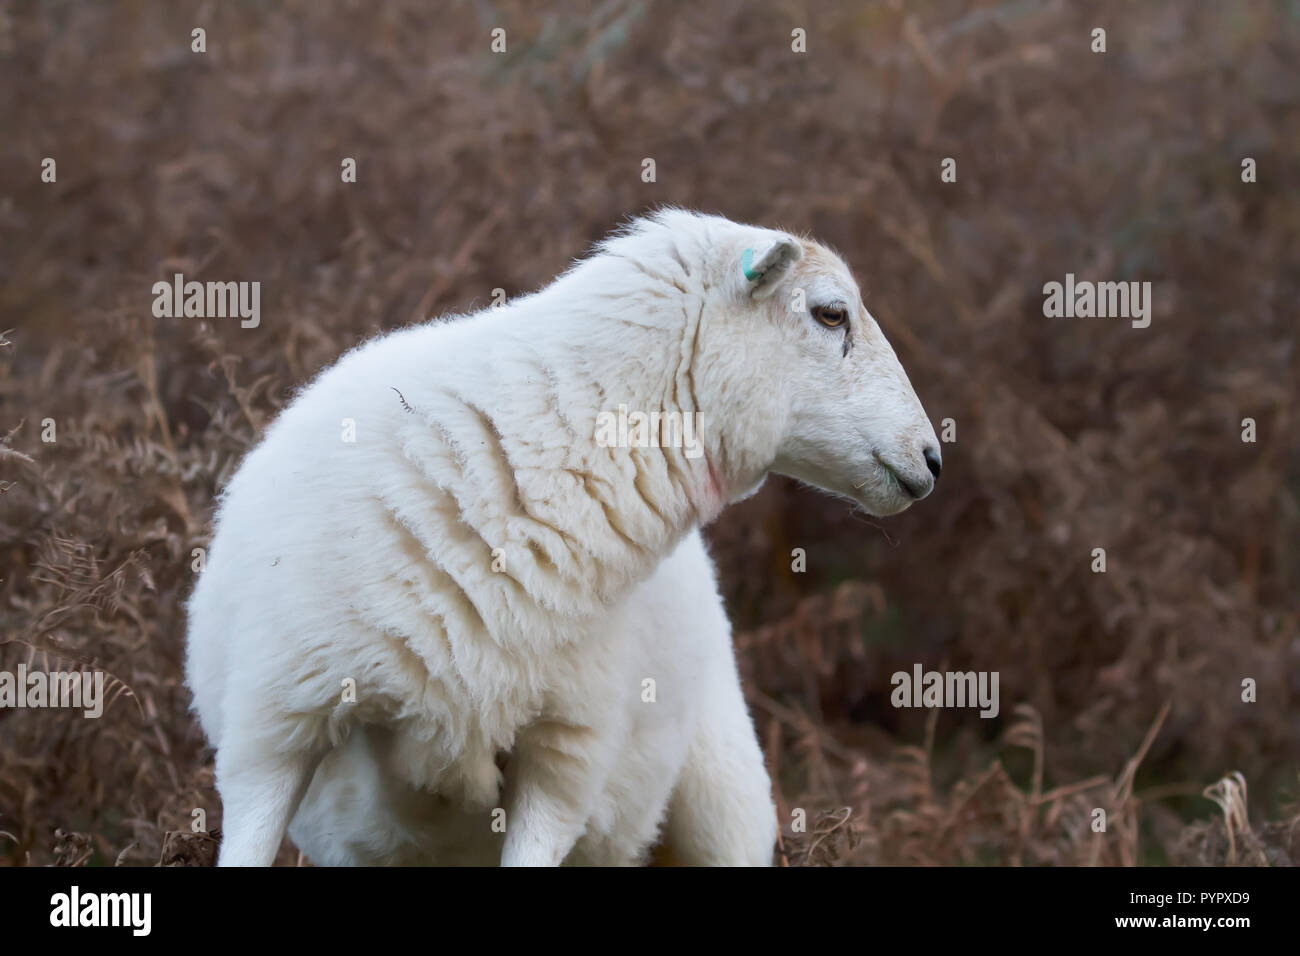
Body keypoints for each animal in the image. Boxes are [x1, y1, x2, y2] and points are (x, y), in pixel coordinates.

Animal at [185, 208, 942, 866]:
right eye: (830, 313)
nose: (934, 459)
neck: (524, 460)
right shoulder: (275, 727)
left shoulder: (562, 759)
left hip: (723, 805)